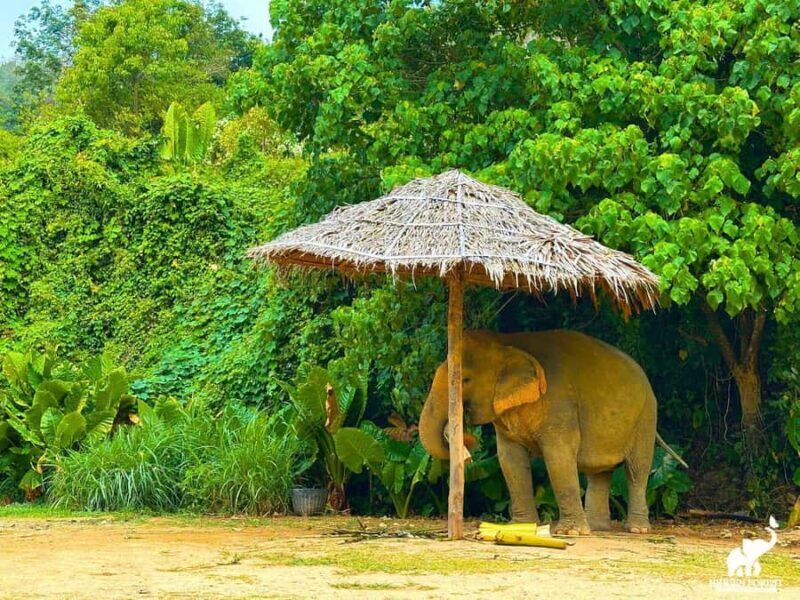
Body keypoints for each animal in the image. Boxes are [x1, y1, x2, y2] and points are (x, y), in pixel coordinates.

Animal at [419, 329, 678, 535]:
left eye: (464, 379)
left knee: (637, 469)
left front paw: (571, 533)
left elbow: (558, 457)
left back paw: (637, 529)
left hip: (646, 417)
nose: (469, 442)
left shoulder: (560, 403)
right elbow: (509, 460)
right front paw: (520, 527)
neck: (507, 341)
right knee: (600, 473)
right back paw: (597, 527)